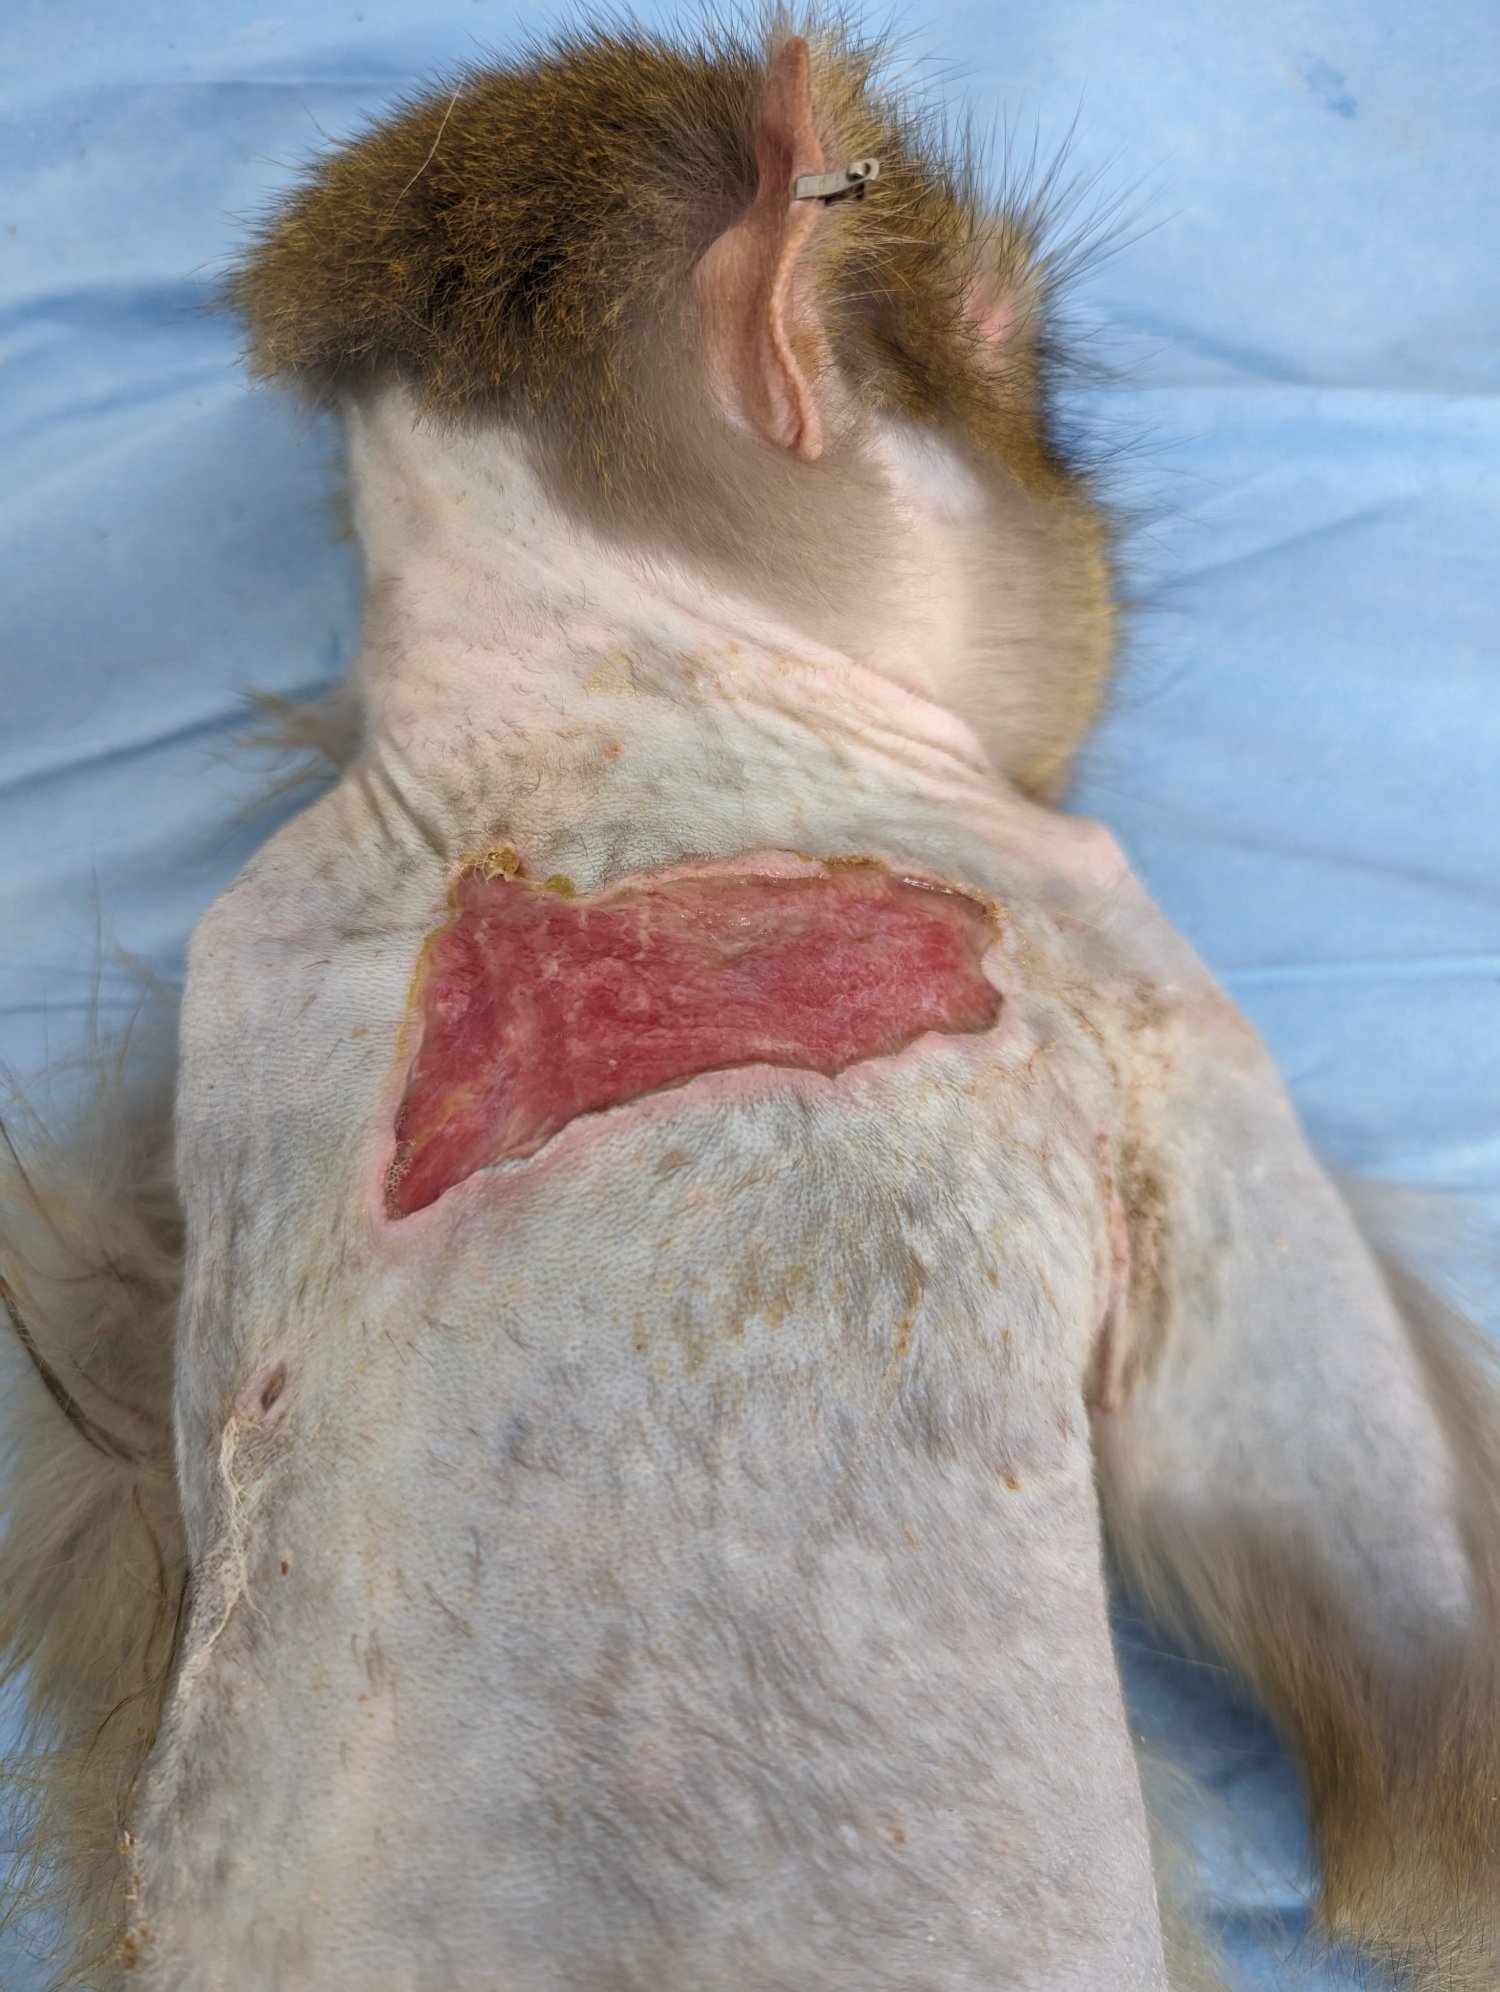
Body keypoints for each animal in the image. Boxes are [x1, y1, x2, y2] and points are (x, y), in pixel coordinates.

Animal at [0, 17, 1495, 1989]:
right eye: (1020, 346)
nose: (1082, 500)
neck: (555, 721)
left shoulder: (246, 948)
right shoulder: (1111, 954)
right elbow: (1391, 1590)